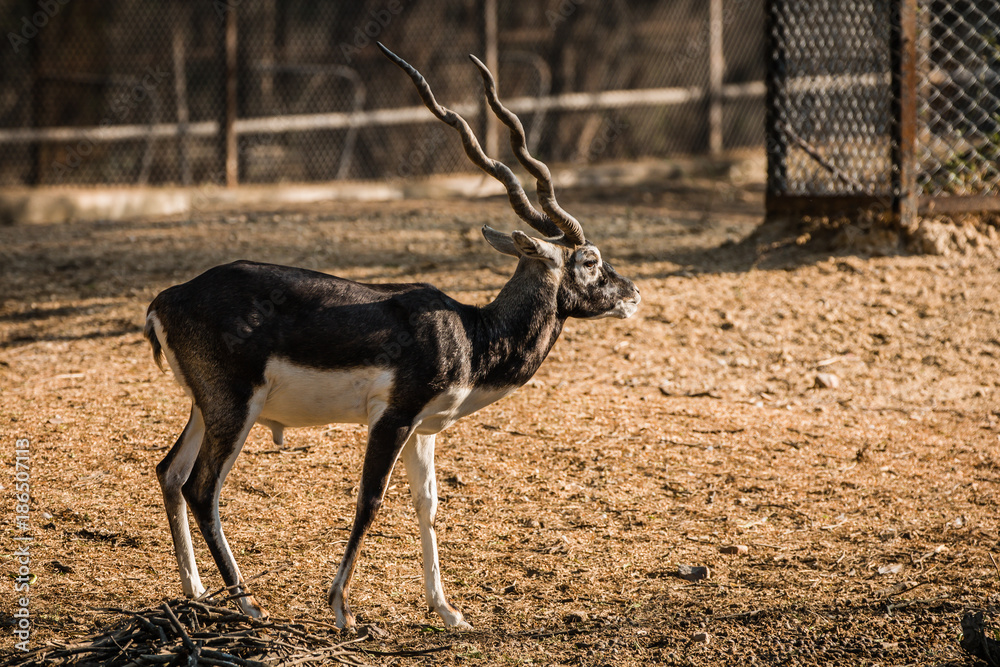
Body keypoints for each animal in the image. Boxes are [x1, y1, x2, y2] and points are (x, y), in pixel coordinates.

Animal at [143, 43, 640, 631]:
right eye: (590, 261)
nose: (632, 293)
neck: (471, 335)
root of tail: (168, 298)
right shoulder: (393, 418)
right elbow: (370, 499)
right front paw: (341, 609)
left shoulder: (424, 430)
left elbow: (427, 504)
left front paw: (448, 612)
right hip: (234, 407)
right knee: (202, 487)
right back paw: (248, 604)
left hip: (205, 406)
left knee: (170, 472)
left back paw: (198, 594)